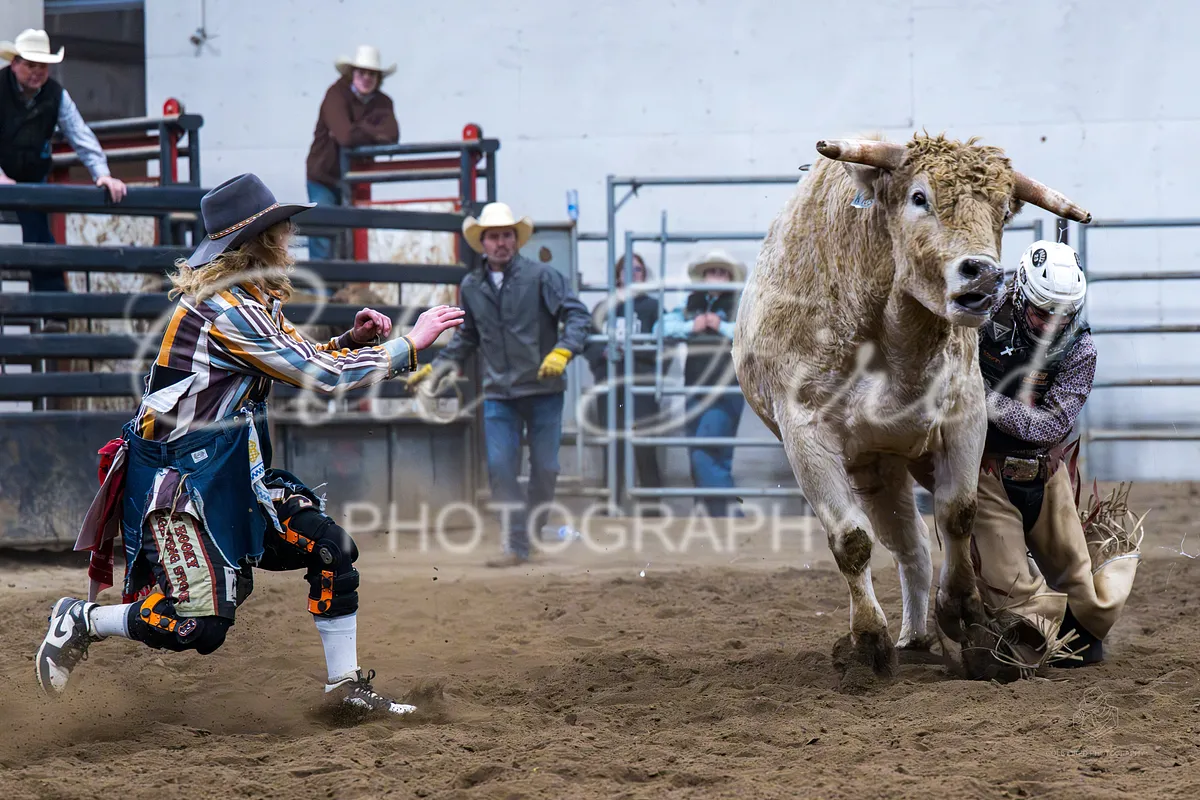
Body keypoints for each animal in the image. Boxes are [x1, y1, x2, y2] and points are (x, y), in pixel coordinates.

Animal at [732, 133, 1090, 690]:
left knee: (917, 544)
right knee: (907, 546)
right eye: (919, 197)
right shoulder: (807, 433)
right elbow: (851, 541)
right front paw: (867, 644)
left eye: (1002, 210)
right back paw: (906, 639)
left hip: (891, 464)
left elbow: (958, 513)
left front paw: (967, 619)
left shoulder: (966, 416)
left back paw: (927, 637)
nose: (982, 272)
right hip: (872, 466)